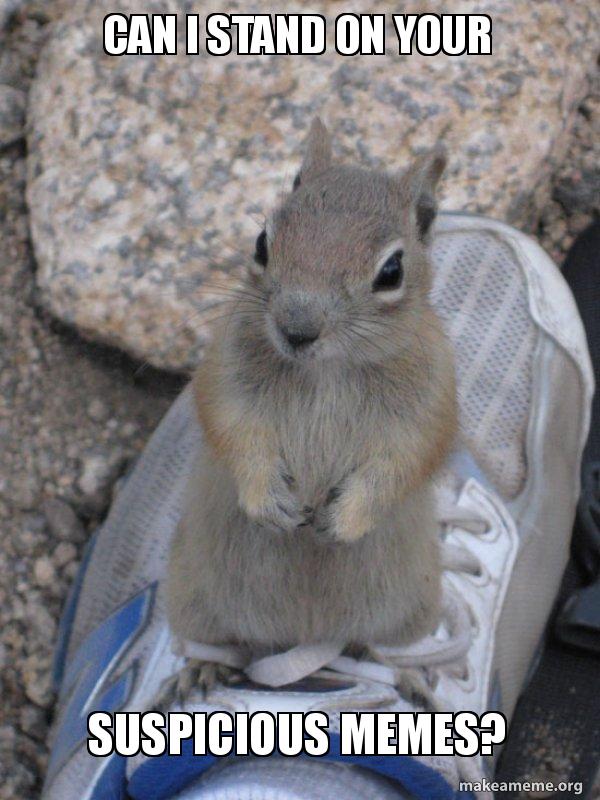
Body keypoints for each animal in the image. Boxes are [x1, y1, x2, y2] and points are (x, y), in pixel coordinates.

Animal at [166, 118, 457, 673]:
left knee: (375, 644)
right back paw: (203, 669)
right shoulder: (227, 378)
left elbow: (401, 464)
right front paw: (268, 500)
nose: (296, 329)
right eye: (262, 242)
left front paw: (344, 520)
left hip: (415, 610)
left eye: (392, 272)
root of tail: (308, 633)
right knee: (223, 643)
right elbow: (235, 432)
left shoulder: (428, 407)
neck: (325, 371)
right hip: (191, 597)